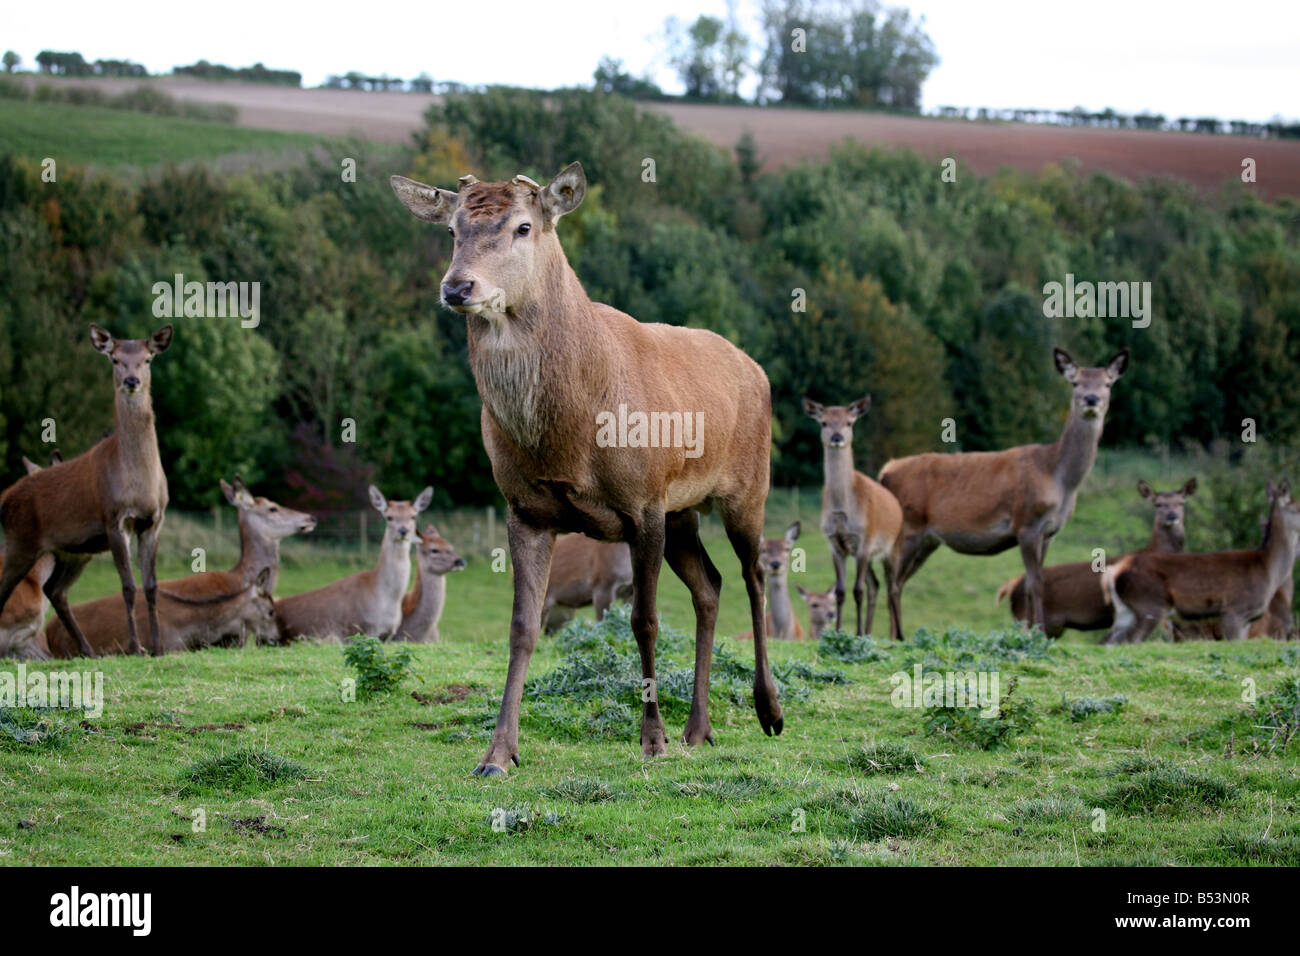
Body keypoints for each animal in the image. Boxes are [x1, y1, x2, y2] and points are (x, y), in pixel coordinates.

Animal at [392, 162, 783, 776]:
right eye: (452, 230)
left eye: (524, 226)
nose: (457, 287)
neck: (568, 441)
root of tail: (755, 368)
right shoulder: (525, 510)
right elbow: (523, 626)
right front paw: (497, 753)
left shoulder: (644, 501)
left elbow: (644, 620)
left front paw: (651, 740)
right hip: (683, 513)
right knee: (710, 585)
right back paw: (699, 729)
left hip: (747, 488)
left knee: (754, 574)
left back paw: (768, 711)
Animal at [803, 396, 904, 638]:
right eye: (824, 422)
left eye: (849, 422)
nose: (837, 438)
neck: (842, 509)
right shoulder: (835, 544)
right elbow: (840, 591)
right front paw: (840, 631)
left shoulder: (864, 540)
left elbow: (857, 590)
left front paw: (856, 633)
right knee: (875, 585)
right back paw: (868, 632)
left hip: (894, 545)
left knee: (894, 587)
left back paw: (899, 636)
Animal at [880, 348, 1129, 640]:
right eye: (1075, 382)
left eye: (1108, 383)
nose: (1091, 399)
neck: (1060, 480)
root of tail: (885, 471)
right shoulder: (1027, 523)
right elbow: (1035, 582)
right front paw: (1038, 632)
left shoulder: (1050, 532)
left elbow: (1035, 580)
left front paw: (1031, 631)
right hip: (909, 526)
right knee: (893, 580)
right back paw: (898, 636)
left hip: (927, 540)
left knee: (896, 578)